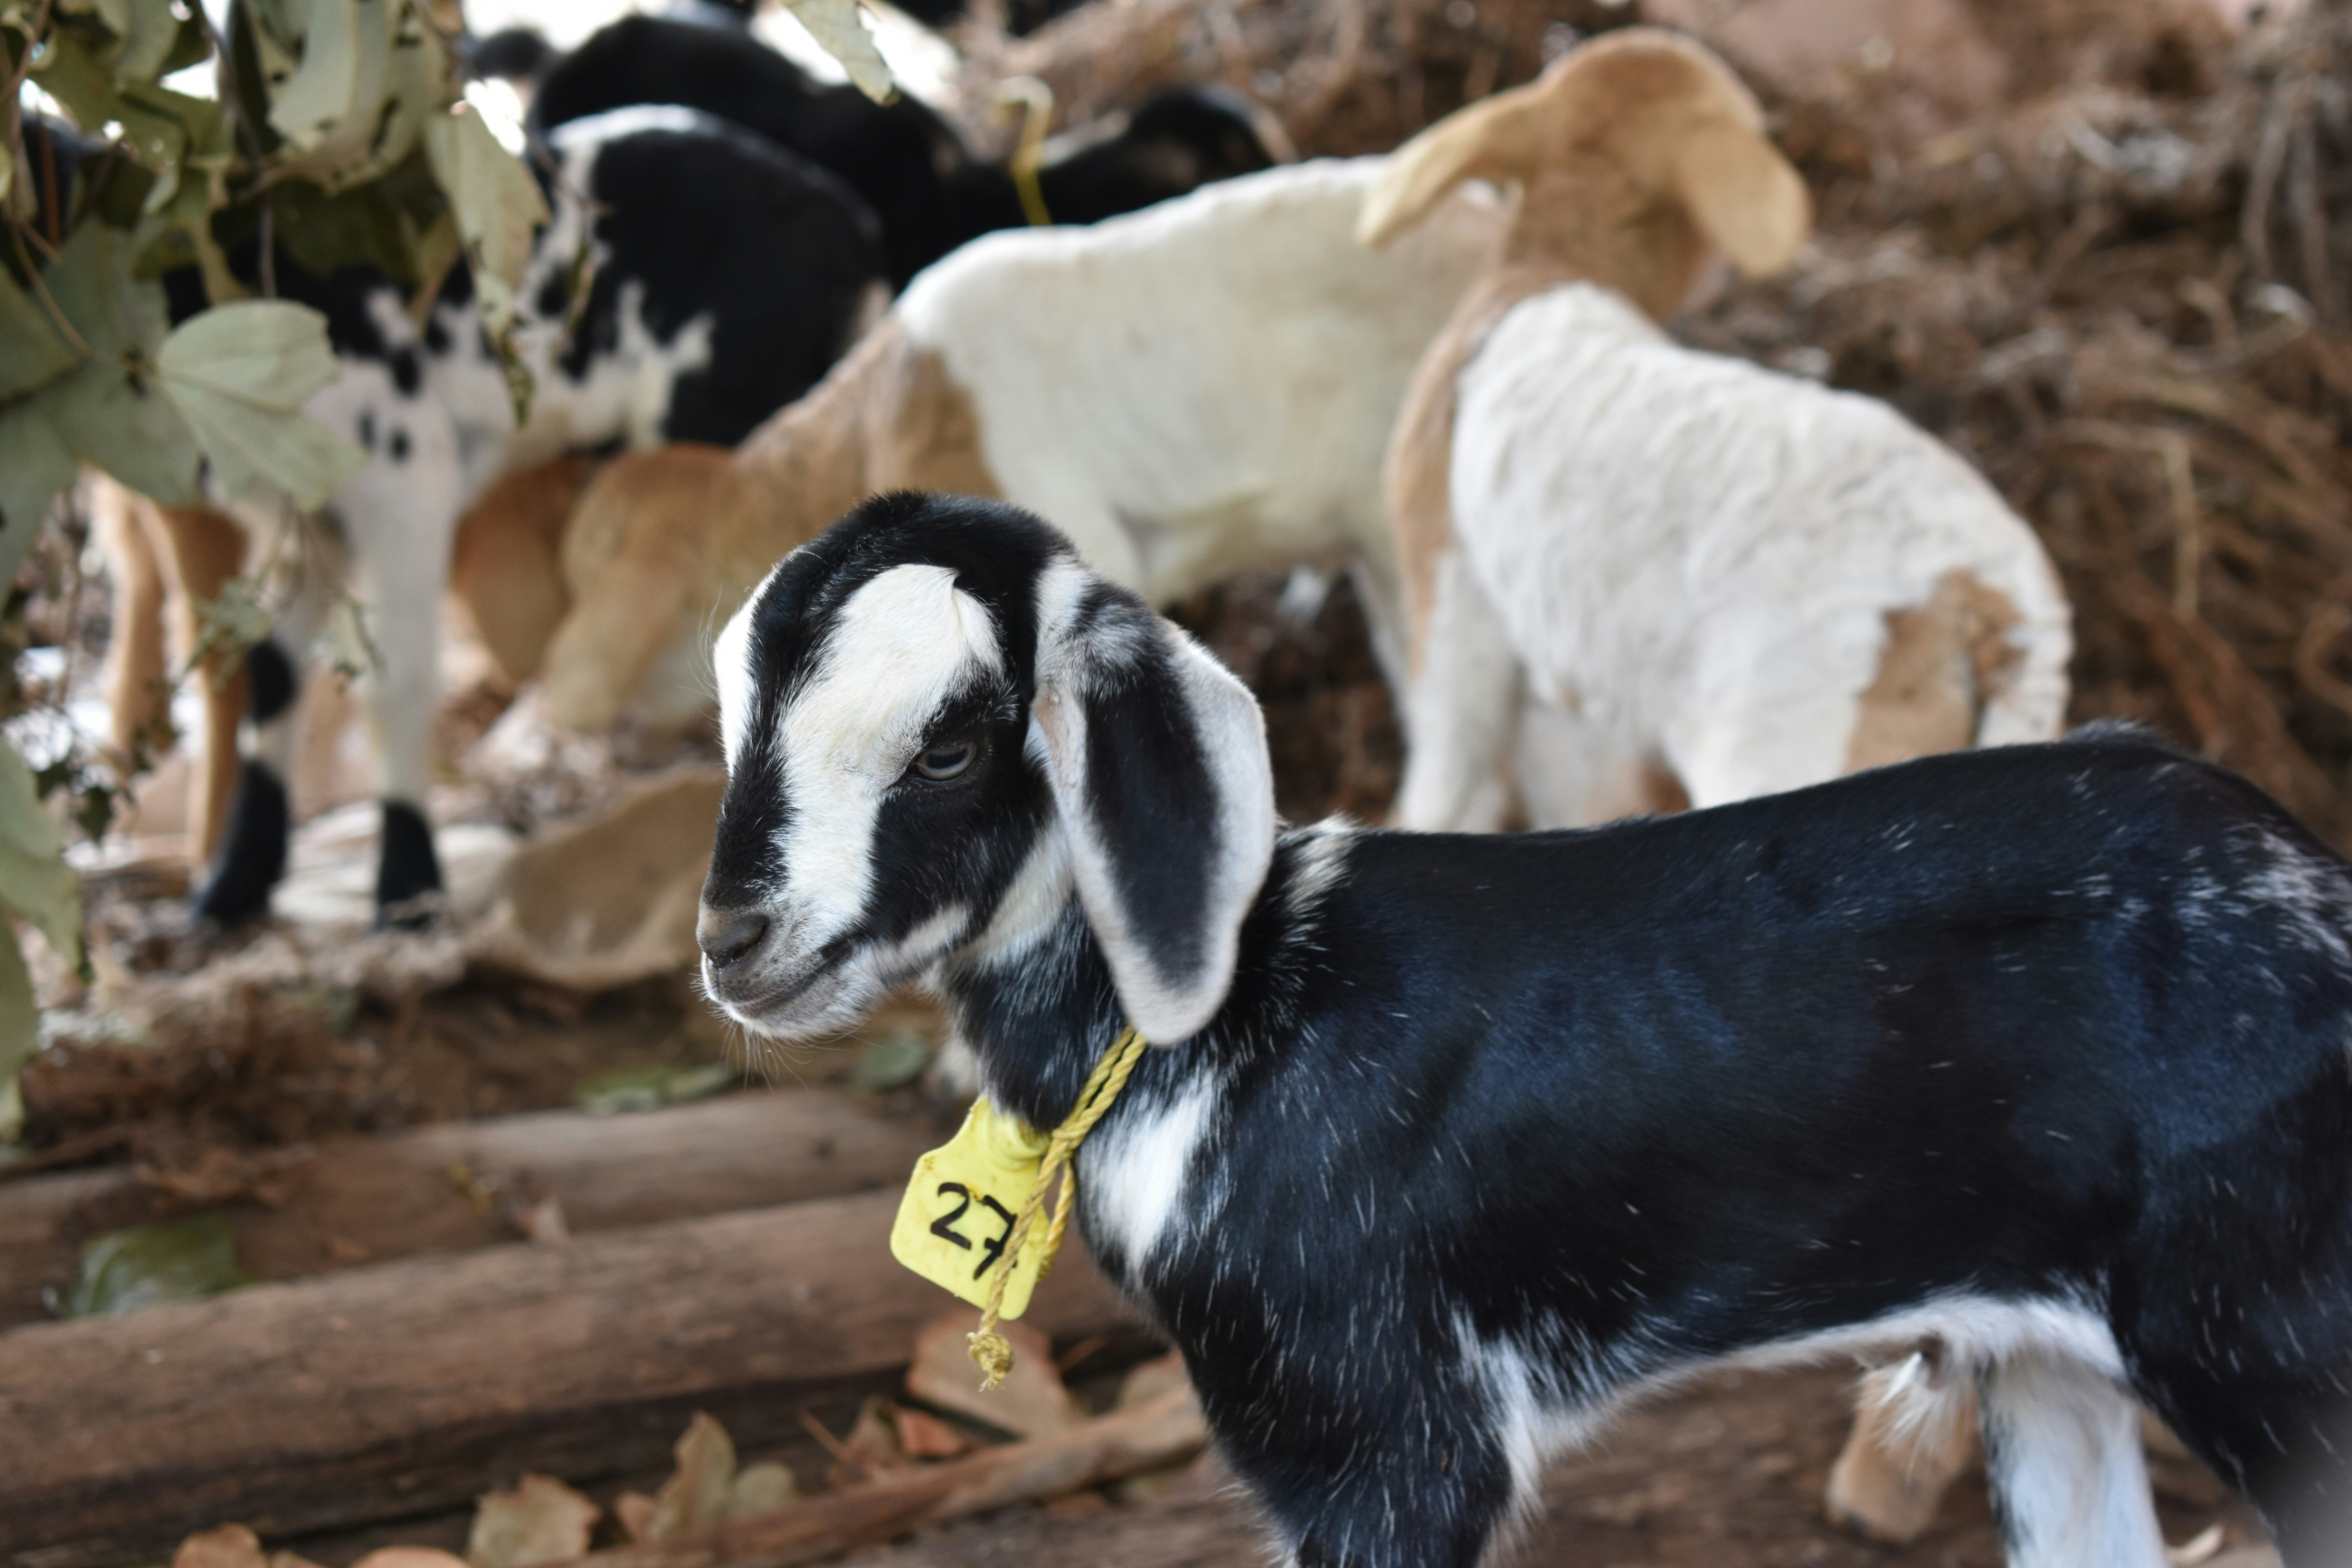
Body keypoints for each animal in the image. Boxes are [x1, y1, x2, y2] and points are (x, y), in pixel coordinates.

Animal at [111, 104, 886, 925]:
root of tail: (850, 224)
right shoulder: (290, 522)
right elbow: (273, 682)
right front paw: (233, 884)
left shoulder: (404, 483)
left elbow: (398, 681)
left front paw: (408, 890)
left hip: (721, 409)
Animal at [697, 489, 2352, 1568]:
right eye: (740, 724)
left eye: (951, 743)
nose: (734, 940)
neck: (1242, 1020)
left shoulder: (1386, 1437)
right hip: (2051, 1366)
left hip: (2274, 1333)